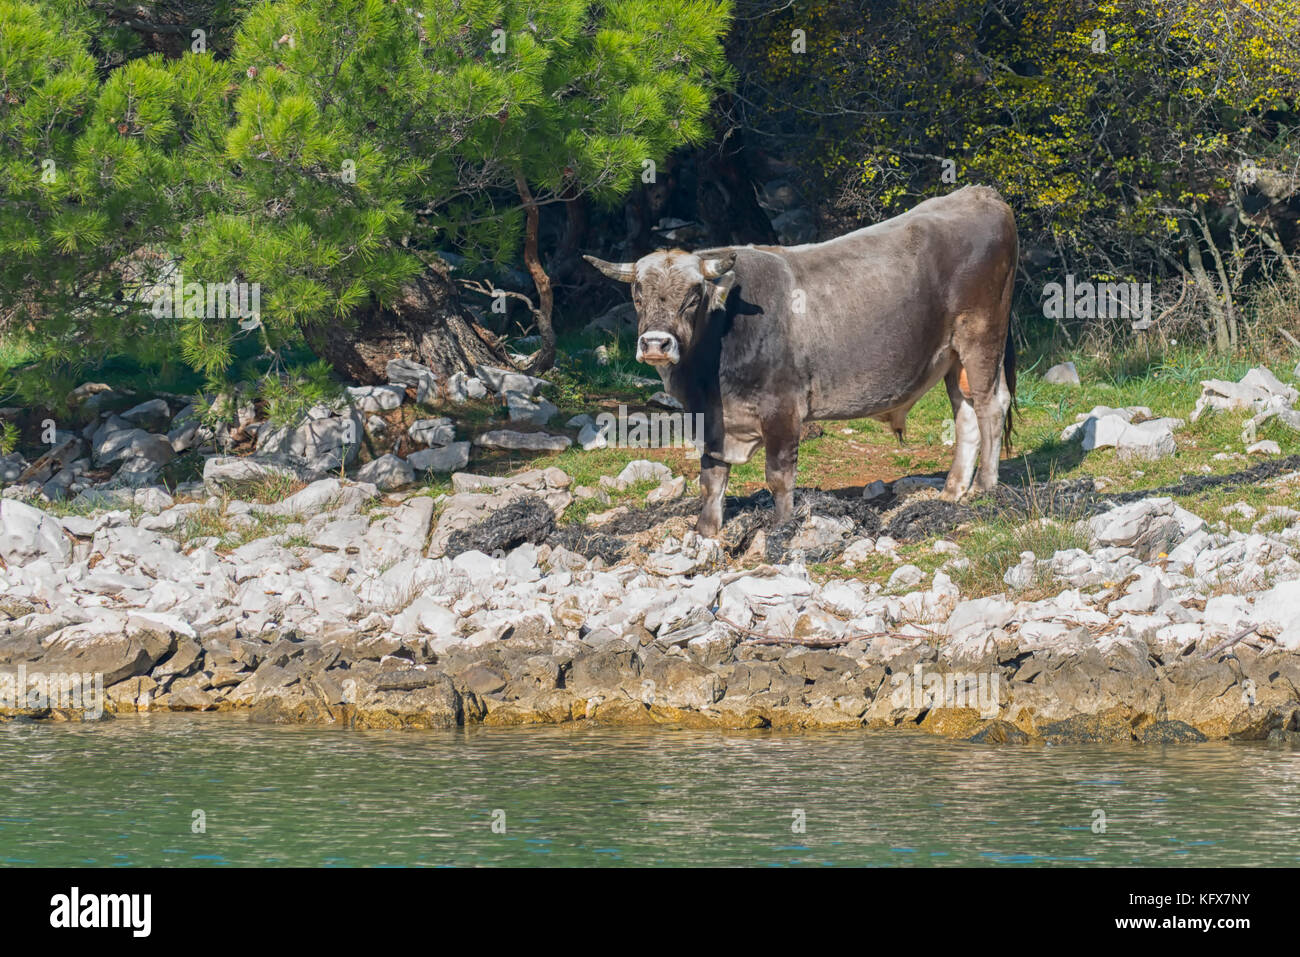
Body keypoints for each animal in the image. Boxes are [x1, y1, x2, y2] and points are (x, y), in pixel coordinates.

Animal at [584, 184, 1018, 539]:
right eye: (638, 294)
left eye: (693, 295)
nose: (656, 343)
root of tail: (980, 194)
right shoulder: (711, 420)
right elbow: (712, 478)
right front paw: (706, 533)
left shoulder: (782, 408)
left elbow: (779, 476)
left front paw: (781, 527)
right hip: (953, 359)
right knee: (966, 414)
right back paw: (951, 492)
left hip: (982, 339)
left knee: (990, 407)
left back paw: (984, 489)